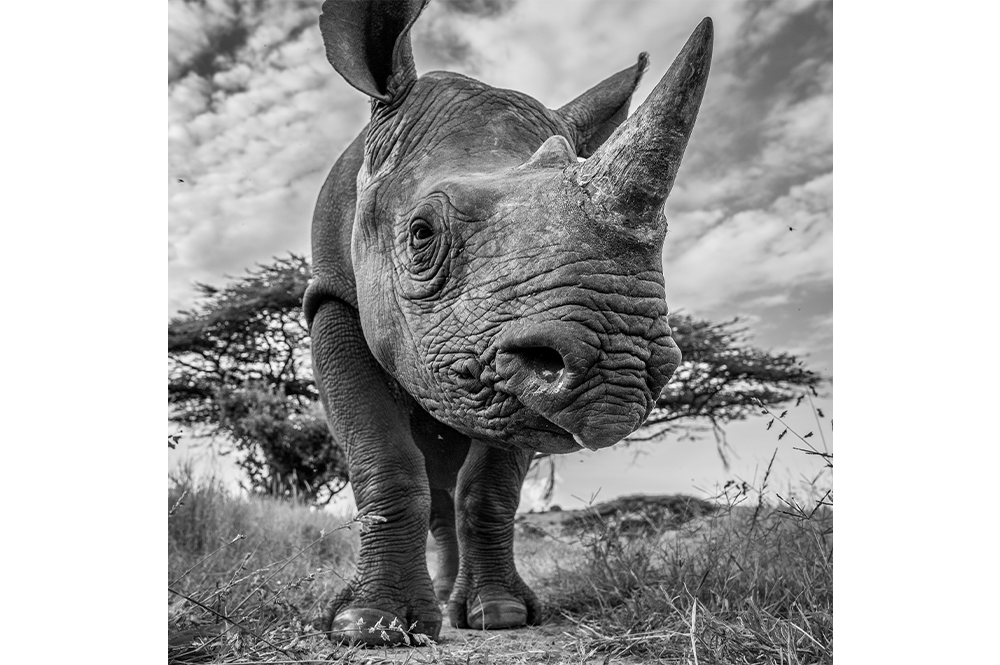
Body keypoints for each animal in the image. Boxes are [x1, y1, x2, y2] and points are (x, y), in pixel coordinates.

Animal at [302, 0, 712, 646]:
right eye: (421, 233)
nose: (617, 371)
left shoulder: (511, 373)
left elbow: (491, 489)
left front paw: (502, 615)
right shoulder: (331, 297)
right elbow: (384, 457)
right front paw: (368, 626)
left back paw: (455, 606)